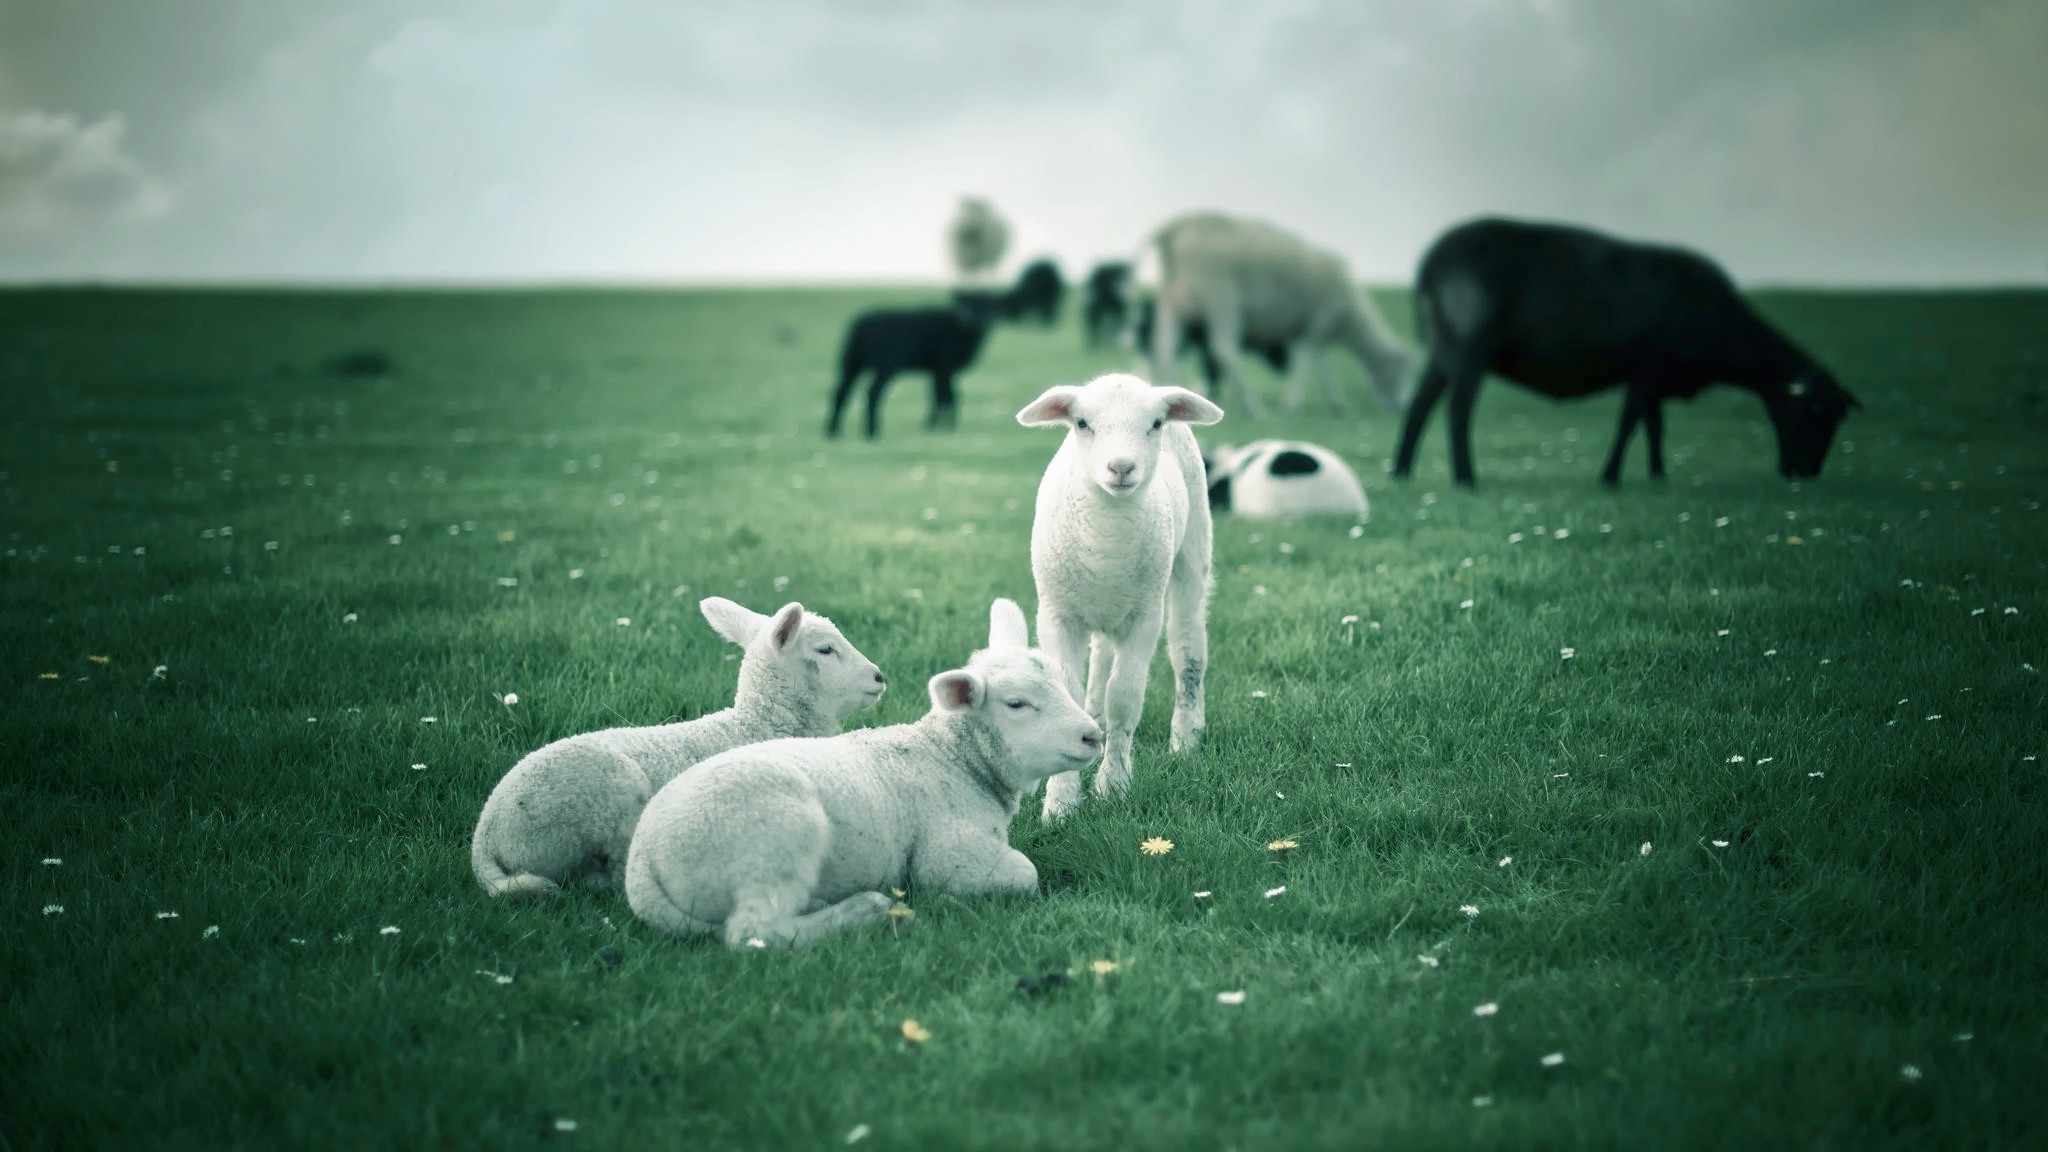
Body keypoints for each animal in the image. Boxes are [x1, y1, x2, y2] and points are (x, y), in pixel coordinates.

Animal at [624, 598, 1101, 949]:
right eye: (1016, 704)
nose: (1093, 736)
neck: (953, 760)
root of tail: (641, 865)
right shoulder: (950, 851)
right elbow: (1024, 874)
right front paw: (944, 899)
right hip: (775, 839)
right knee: (756, 933)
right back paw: (866, 910)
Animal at [824, 293, 1004, 439]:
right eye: (967, 304)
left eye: (988, 304)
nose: (976, 320)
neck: (964, 333)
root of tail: (861, 327)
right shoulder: (944, 365)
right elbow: (949, 395)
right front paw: (947, 428)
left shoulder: (936, 370)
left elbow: (938, 395)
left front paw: (934, 427)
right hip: (885, 363)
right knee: (872, 392)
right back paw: (873, 433)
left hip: (851, 362)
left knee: (840, 392)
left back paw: (833, 432)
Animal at [1017, 372, 1224, 820]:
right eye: (1082, 423)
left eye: (1156, 424)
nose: (1121, 467)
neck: (1107, 528)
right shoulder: (1057, 615)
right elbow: (1070, 694)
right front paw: (1061, 804)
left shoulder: (1143, 619)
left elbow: (1125, 701)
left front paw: (1112, 786)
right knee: (1099, 665)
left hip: (1191, 557)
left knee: (1188, 651)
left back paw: (1186, 737)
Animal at [1146, 211, 1413, 419]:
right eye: (1402, 370)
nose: (1404, 407)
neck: (1350, 317)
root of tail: (1173, 230)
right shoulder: (1318, 323)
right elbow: (1307, 362)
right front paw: (1292, 403)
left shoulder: (1315, 329)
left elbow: (1322, 365)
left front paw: (1338, 403)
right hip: (1222, 301)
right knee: (1224, 349)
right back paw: (1252, 407)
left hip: (1175, 304)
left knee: (1166, 348)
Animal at [1394, 217, 1861, 488]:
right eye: (1815, 414)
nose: (1806, 473)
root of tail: (1431, 263)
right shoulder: (1647, 367)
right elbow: (1632, 422)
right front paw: (1611, 478)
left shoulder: (1655, 377)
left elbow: (1655, 426)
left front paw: (1657, 476)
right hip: (1470, 345)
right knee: (1457, 410)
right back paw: (1464, 477)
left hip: (1444, 345)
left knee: (1419, 405)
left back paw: (1401, 471)